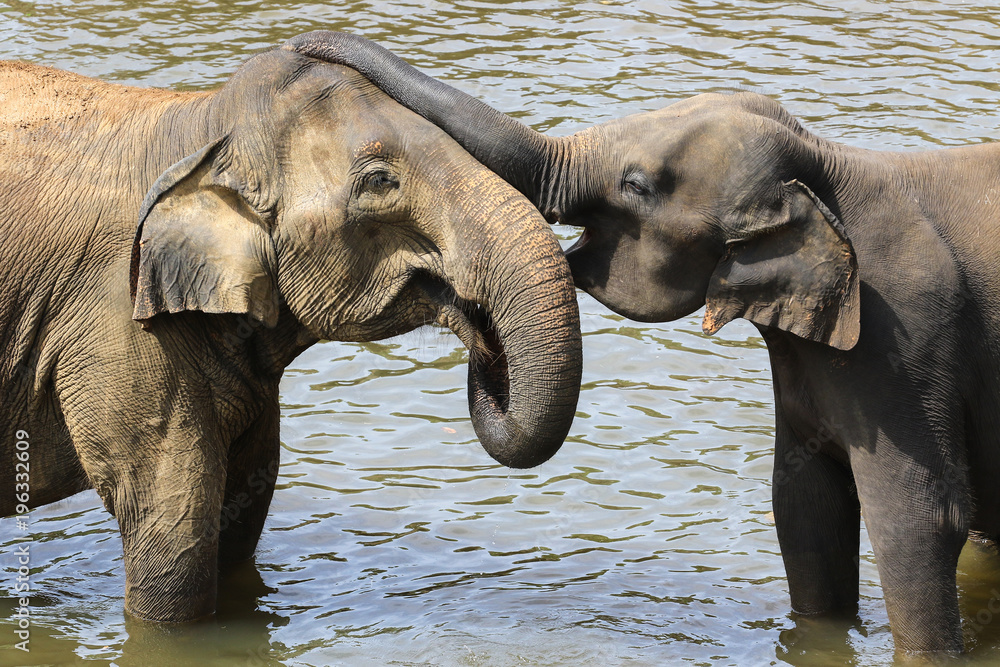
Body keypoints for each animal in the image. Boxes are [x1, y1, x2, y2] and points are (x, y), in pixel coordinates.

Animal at [0, 37, 583, 623]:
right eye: (380, 181)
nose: (484, 341)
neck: (201, 124)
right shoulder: (120, 316)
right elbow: (171, 534)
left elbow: (243, 508)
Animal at [300, 31, 1000, 654]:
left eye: (636, 185)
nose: (306, 45)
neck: (826, 158)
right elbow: (803, 508)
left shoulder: (906, 343)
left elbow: (918, 523)